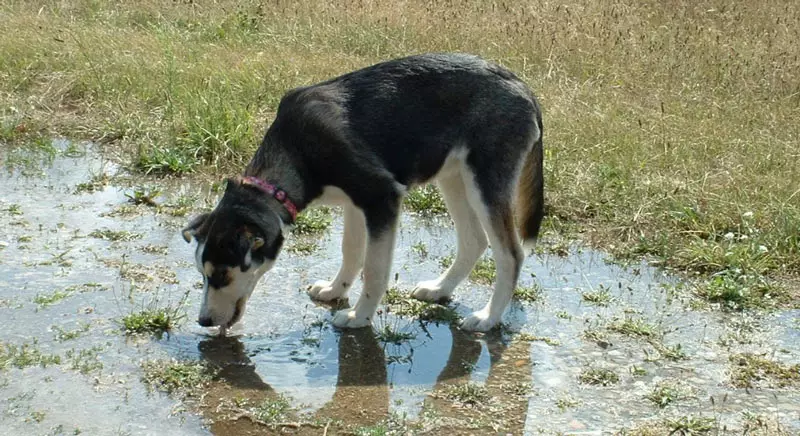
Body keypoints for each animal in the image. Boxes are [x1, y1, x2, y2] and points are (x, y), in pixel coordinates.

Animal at [181, 52, 544, 332]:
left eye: (223, 275)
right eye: (203, 274)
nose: (203, 321)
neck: (297, 149)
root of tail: (522, 86)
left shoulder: (382, 198)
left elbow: (374, 269)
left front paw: (359, 316)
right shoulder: (355, 204)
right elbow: (351, 251)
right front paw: (334, 290)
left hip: (484, 182)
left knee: (510, 254)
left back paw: (488, 318)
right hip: (454, 177)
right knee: (474, 240)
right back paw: (440, 289)